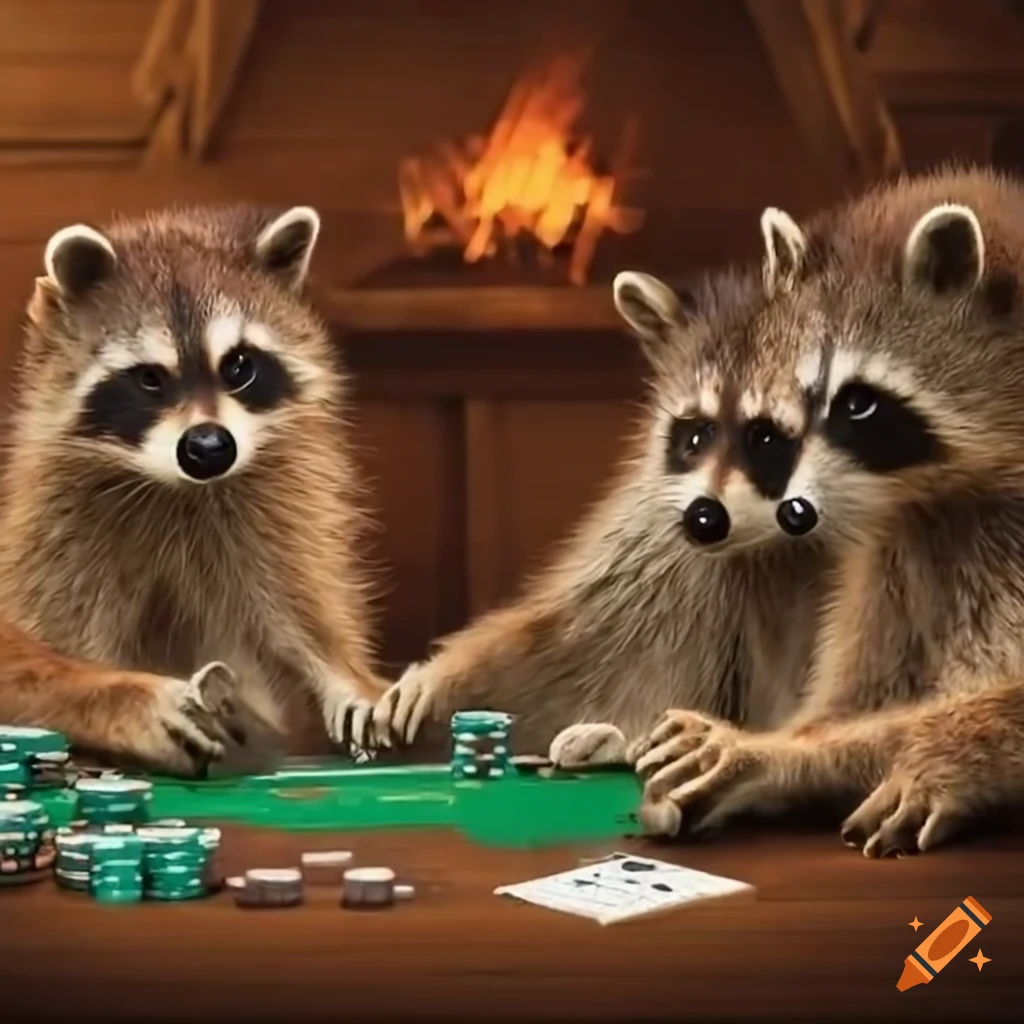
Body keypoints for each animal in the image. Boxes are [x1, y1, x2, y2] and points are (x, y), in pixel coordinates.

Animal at [0, 205, 387, 775]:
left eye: (239, 366)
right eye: (149, 379)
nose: (209, 447)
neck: (176, 484)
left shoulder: (277, 502)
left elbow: (296, 599)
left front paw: (340, 671)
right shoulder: (62, 533)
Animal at [372, 226, 832, 766]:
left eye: (765, 434)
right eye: (696, 434)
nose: (708, 516)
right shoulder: (661, 530)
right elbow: (572, 627)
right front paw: (441, 673)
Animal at [632, 167, 1024, 855]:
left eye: (859, 405)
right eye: (776, 419)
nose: (792, 512)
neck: (957, 488)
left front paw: (948, 752)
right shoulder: (895, 545)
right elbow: (862, 697)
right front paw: (784, 750)